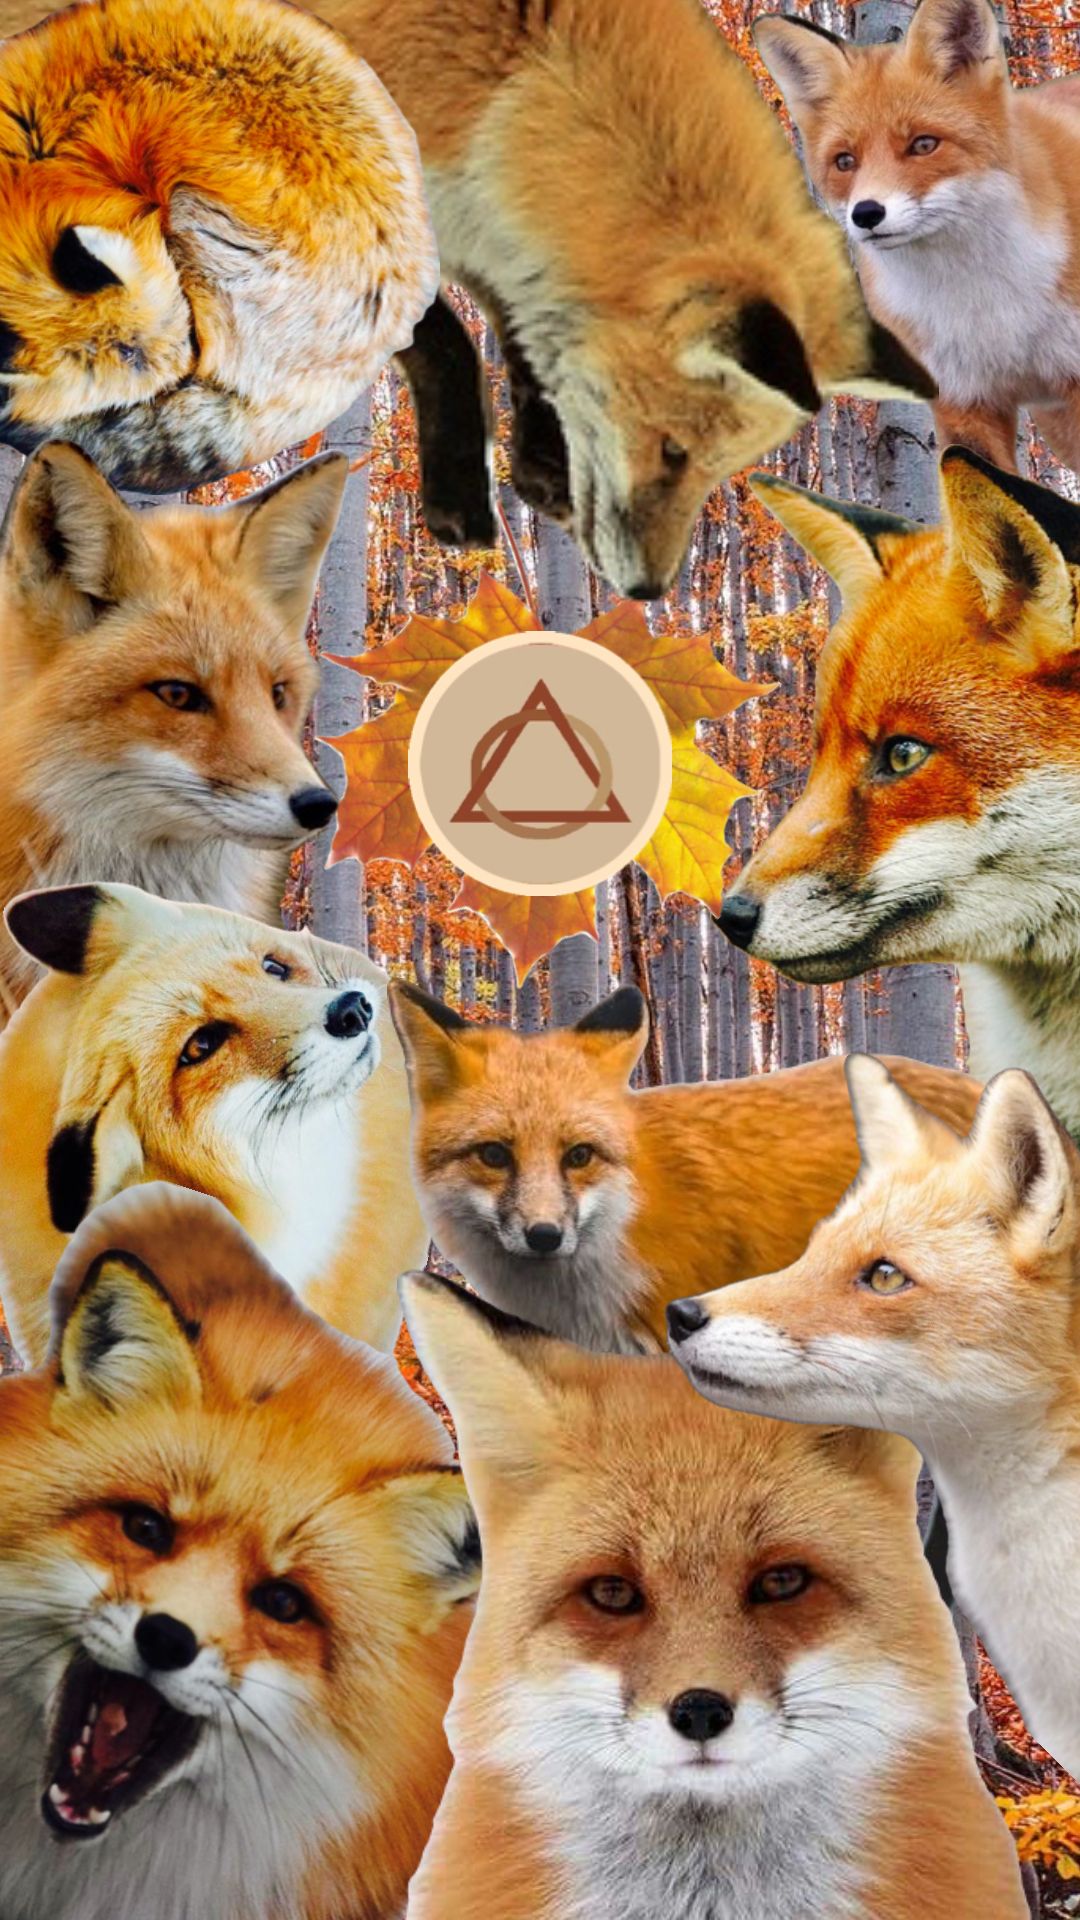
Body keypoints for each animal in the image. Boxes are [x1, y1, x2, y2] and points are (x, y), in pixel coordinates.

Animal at [302, 0, 934, 599]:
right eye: (674, 451)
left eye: (721, 468)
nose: (647, 590)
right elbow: (443, 342)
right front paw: (461, 493)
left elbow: (521, 342)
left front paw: (539, 465)